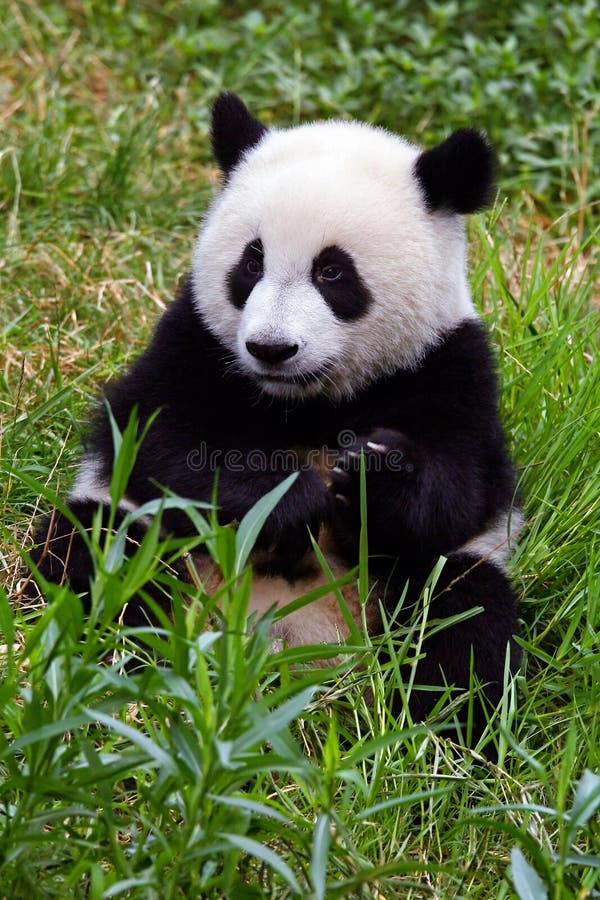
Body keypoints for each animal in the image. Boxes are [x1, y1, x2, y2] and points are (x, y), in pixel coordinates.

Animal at [28, 92, 522, 737]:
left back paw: (445, 727)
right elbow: (158, 439)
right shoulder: (195, 338)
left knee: (465, 618)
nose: (270, 348)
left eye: (333, 272)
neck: (303, 400)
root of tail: (280, 642)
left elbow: (462, 488)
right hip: (158, 548)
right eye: (251, 262)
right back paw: (111, 669)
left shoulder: (447, 363)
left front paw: (373, 474)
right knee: (91, 556)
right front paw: (290, 500)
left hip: (409, 588)